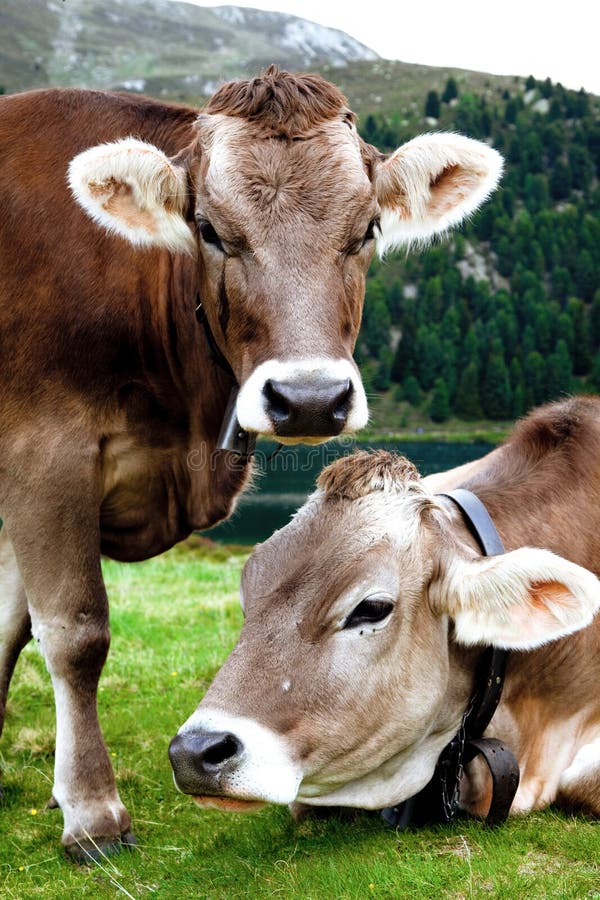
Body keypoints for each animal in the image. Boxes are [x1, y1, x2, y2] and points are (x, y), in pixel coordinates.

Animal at [0, 66, 501, 859]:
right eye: (209, 229)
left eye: (367, 229)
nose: (310, 398)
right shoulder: (42, 450)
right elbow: (75, 630)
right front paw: (92, 813)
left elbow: (8, 624)